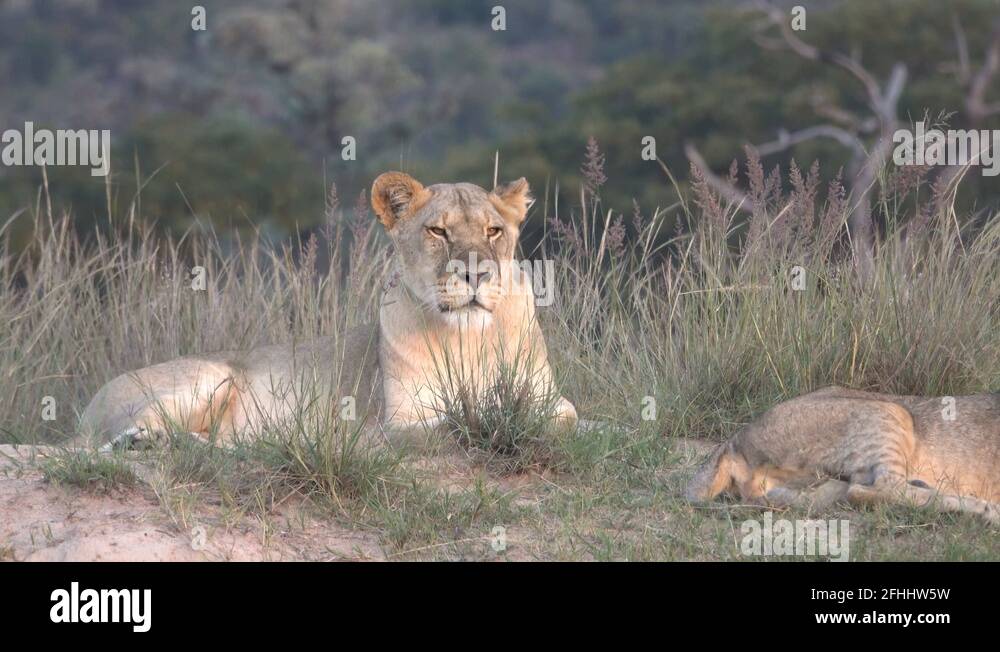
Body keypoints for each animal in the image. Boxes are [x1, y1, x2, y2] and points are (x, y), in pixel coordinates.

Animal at [76, 171, 577, 450]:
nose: (476, 274)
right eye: (437, 231)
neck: (470, 336)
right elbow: (456, 423)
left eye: (494, 231)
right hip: (206, 378)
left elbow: (561, 416)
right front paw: (483, 417)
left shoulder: (551, 398)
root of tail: (87, 406)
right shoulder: (393, 421)